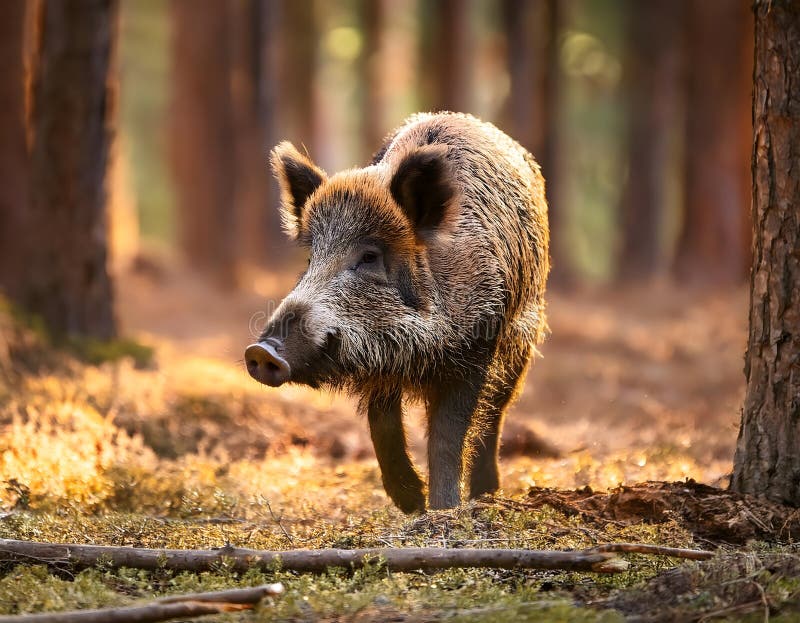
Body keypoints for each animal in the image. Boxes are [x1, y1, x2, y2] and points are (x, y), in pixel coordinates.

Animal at [245, 112, 549, 512]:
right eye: (311, 258)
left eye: (369, 256)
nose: (261, 351)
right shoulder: (378, 361)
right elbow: (382, 426)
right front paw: (412, 502)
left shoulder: (477, 346)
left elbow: (448, 436)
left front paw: (442, 509)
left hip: (524, 340)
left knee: (495, 415)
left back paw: (487, 494)